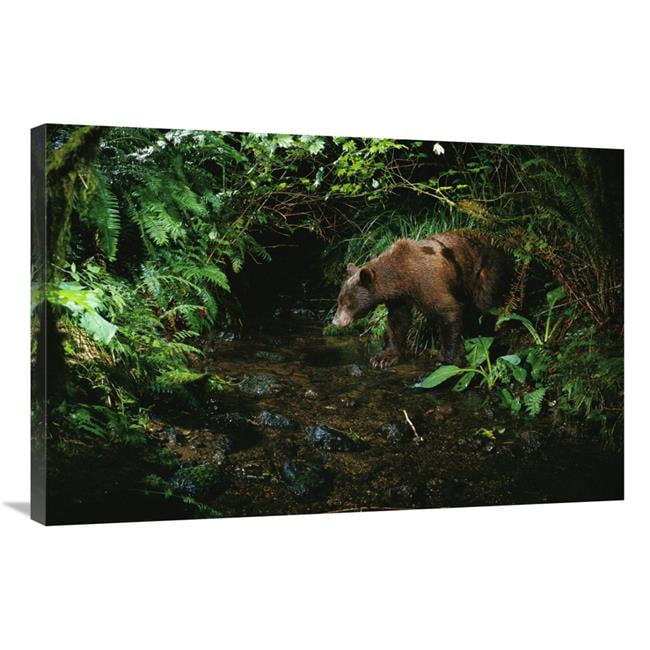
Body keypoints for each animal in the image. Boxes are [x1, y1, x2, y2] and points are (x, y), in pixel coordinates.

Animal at [331, 230, 510, 368]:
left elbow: (449, 311)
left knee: (485, 305)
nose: (335, 321)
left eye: (347, 304)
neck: (400, 277)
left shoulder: (427, 283)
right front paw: (383, 357)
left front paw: (448, 358)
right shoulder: (398, 298)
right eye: (339, 301)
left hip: (485, 268)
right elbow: (398, 321)